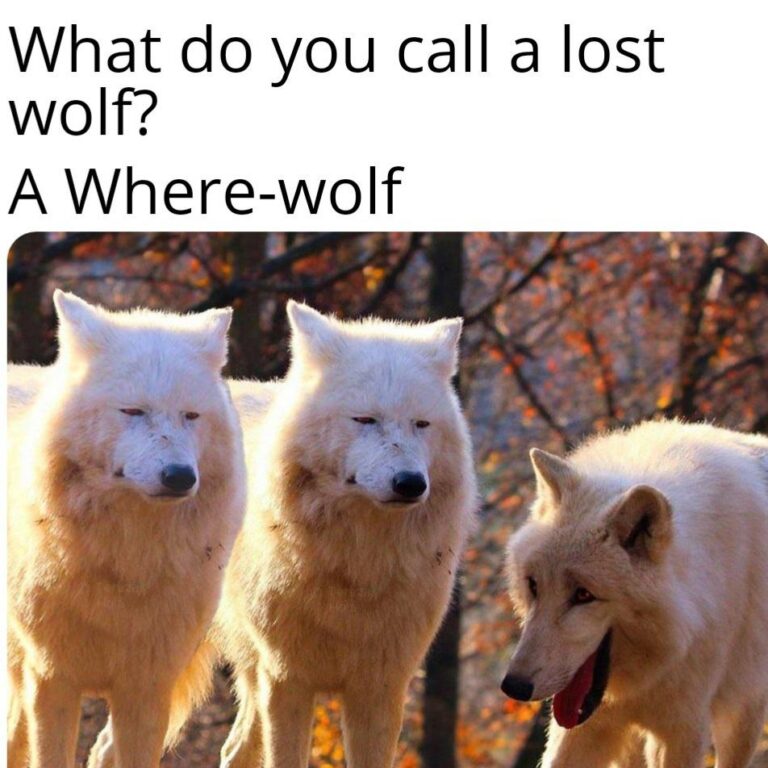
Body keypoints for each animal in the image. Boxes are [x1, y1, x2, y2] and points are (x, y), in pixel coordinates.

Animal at [7, 291, 246, 768]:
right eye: (133, 411)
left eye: (191, 416)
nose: (179, 477)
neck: (126, 563)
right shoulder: (52, 680)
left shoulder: (147, 689)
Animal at [210, 301, 477, 768]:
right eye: (365, 420)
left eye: (421, 424)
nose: (411, 483)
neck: (358, 567)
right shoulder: (286, 679)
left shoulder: (382, 688)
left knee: (232, 748)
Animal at [502, 420, 768, 768]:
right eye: (534, 585)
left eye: (583, 595)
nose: (514, 686)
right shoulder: (584, 726)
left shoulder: (683, 731)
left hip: (741, 717)